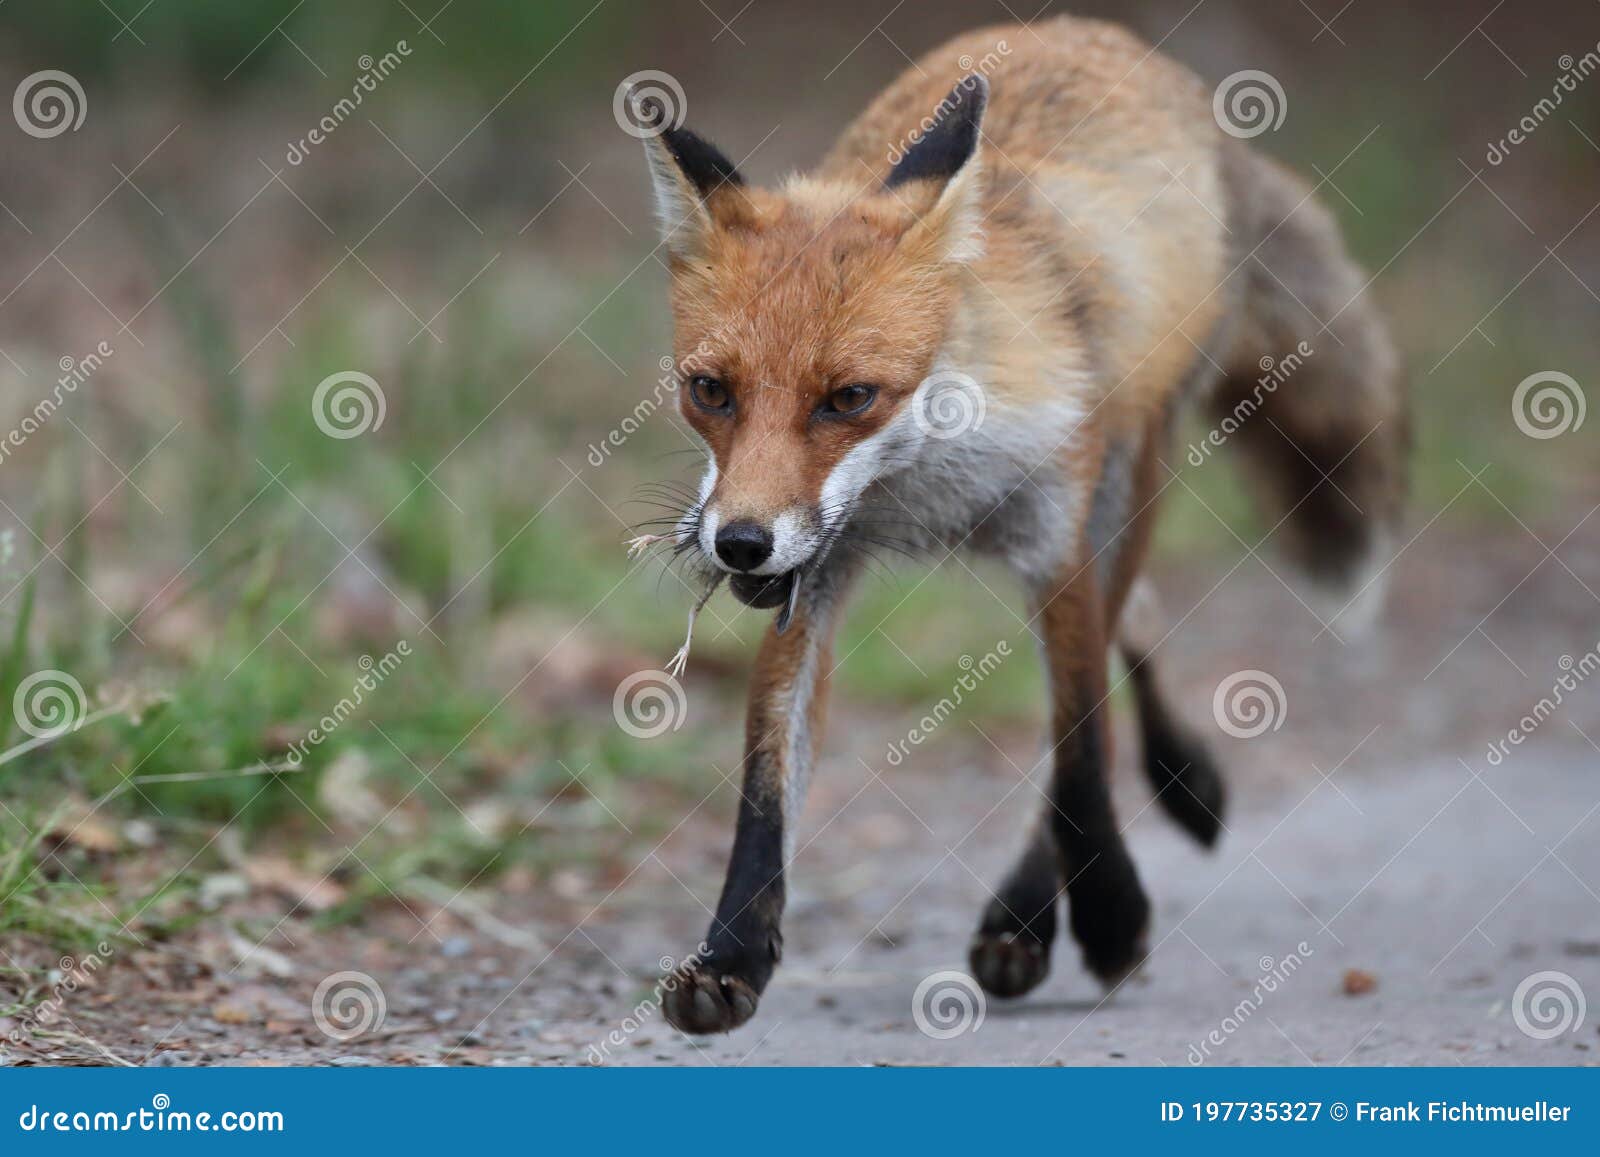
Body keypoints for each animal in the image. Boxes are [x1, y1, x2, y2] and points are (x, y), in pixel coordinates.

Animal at [629, 15, 1408, 1034]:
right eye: (709, 390)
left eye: (850, 397)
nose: (740, 544)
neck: (930, 487)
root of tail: (1118, 45)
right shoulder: (818, 577)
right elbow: (767, 782)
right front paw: (733, 956)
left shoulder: (1055, 541)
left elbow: (1077, 745)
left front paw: (1108, 913)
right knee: (1140, 618)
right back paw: (1168, 789)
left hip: (1130, 476)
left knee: (1110, 658)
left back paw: (1042, 904)